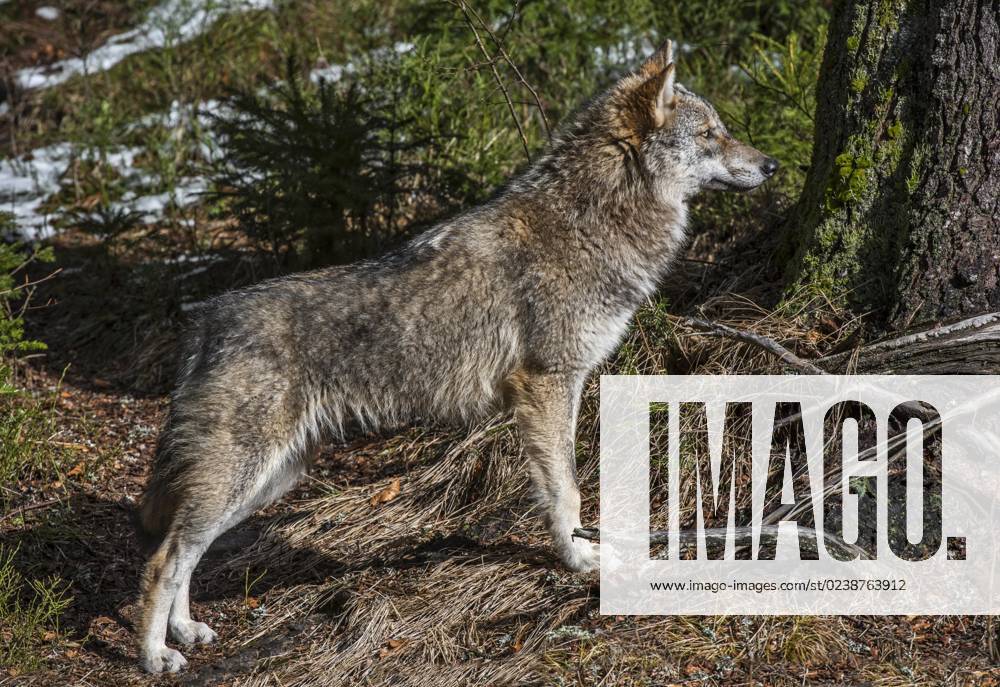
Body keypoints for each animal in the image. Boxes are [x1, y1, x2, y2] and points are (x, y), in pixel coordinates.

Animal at [135, 40, 778, 672]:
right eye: (711, 134)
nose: (772, 165)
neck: (591, 217)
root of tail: (206, 319)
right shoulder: (546, 385)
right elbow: (568, 491)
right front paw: (578, 559)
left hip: (269, 479)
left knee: (187, 551)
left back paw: (186, 630)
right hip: (244, 477)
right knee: (164, 558)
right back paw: (154, 653)